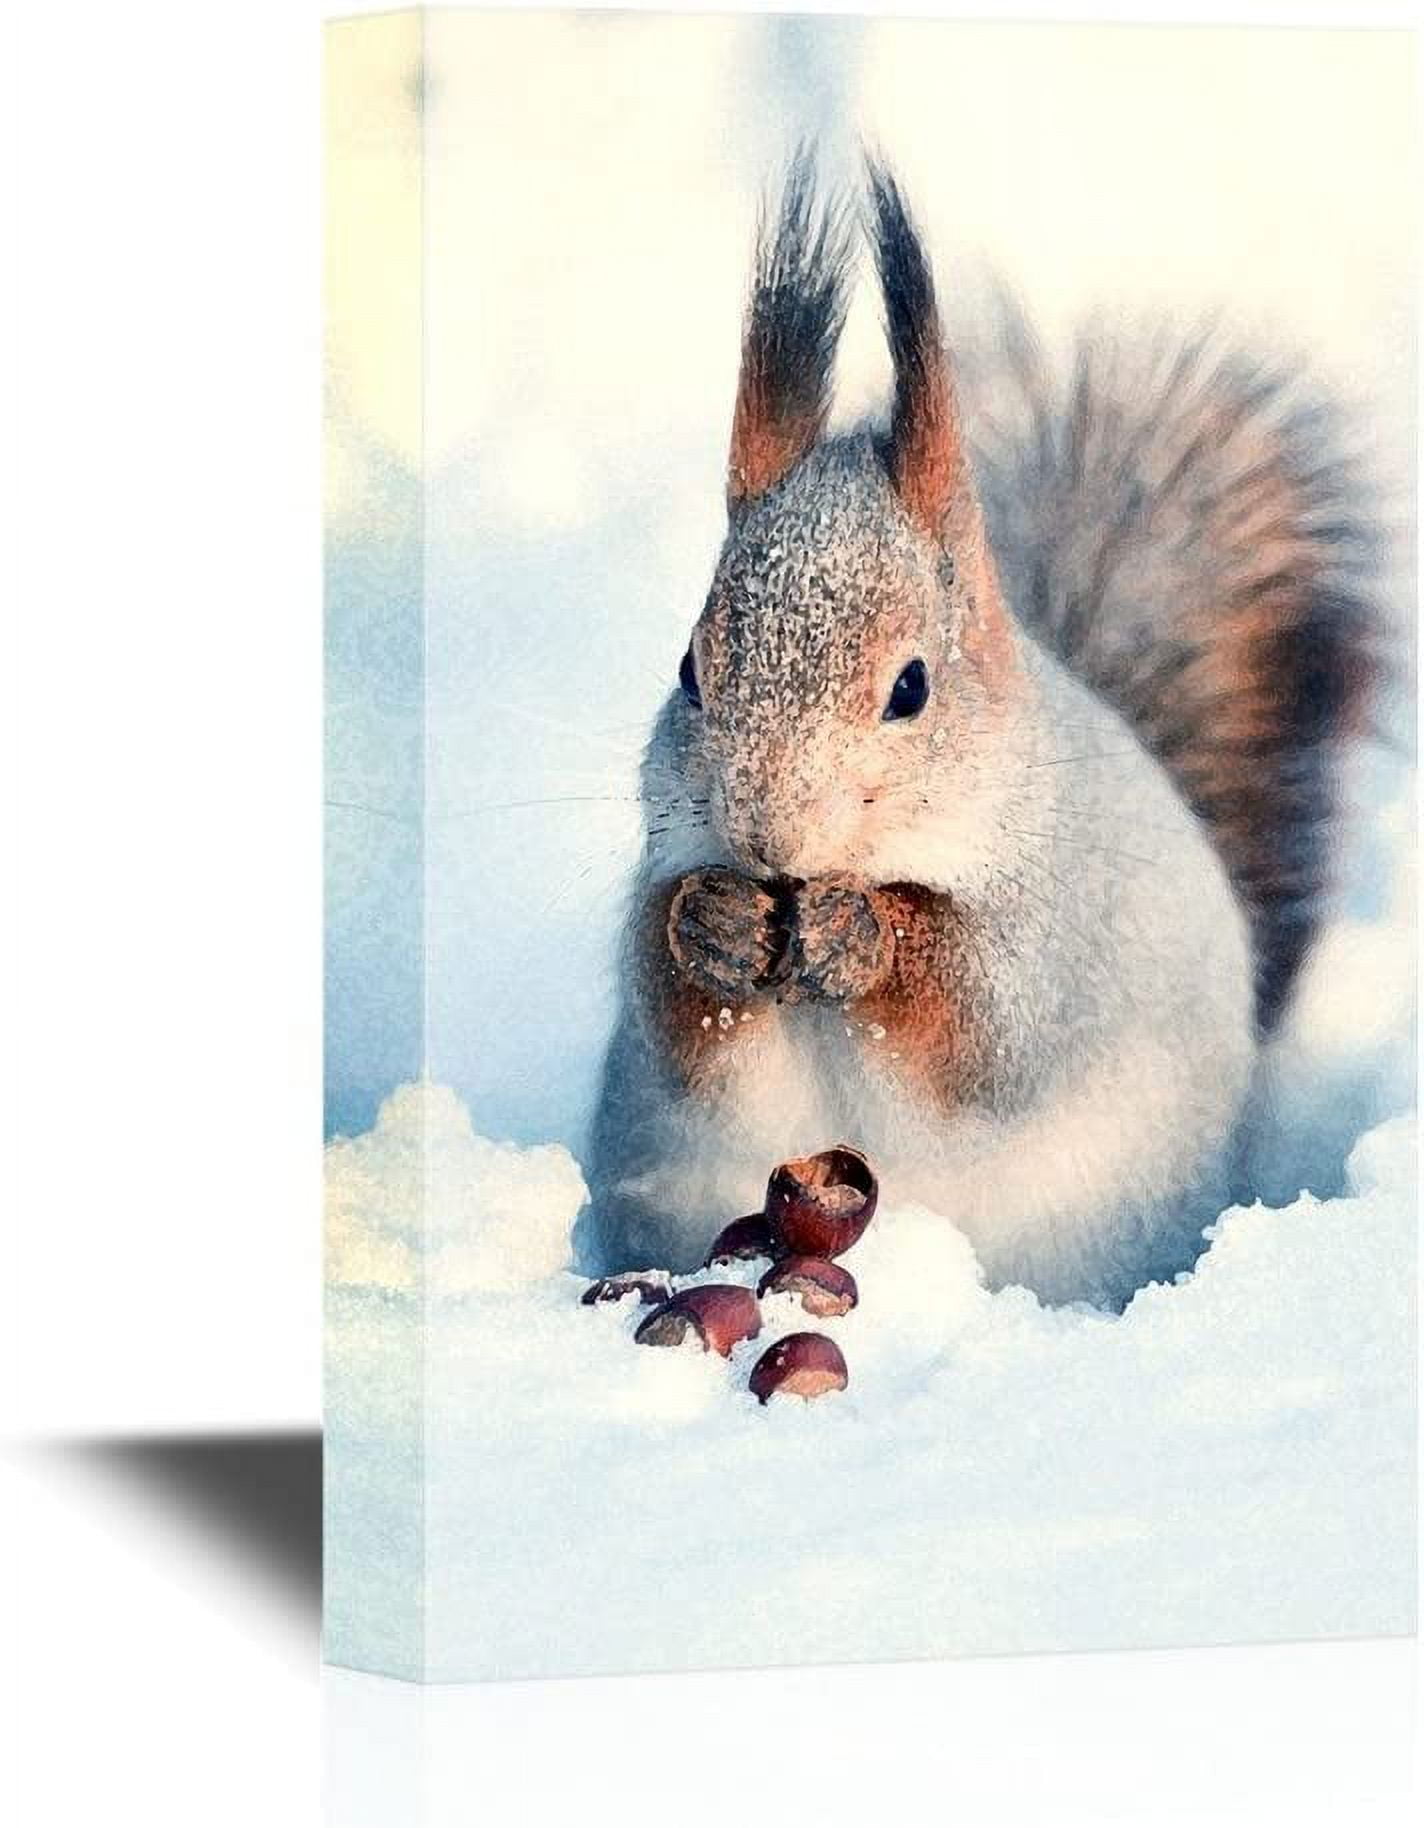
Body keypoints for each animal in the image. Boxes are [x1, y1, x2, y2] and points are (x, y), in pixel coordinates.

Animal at [582, 156, 1377, 1310]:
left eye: (911, 687)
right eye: (690, 670)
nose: (768, 834)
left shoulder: (1054, 928)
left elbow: (979, 1033)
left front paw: (863, 935)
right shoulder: (665, 876)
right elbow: (669, 1009)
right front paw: (714, 923)